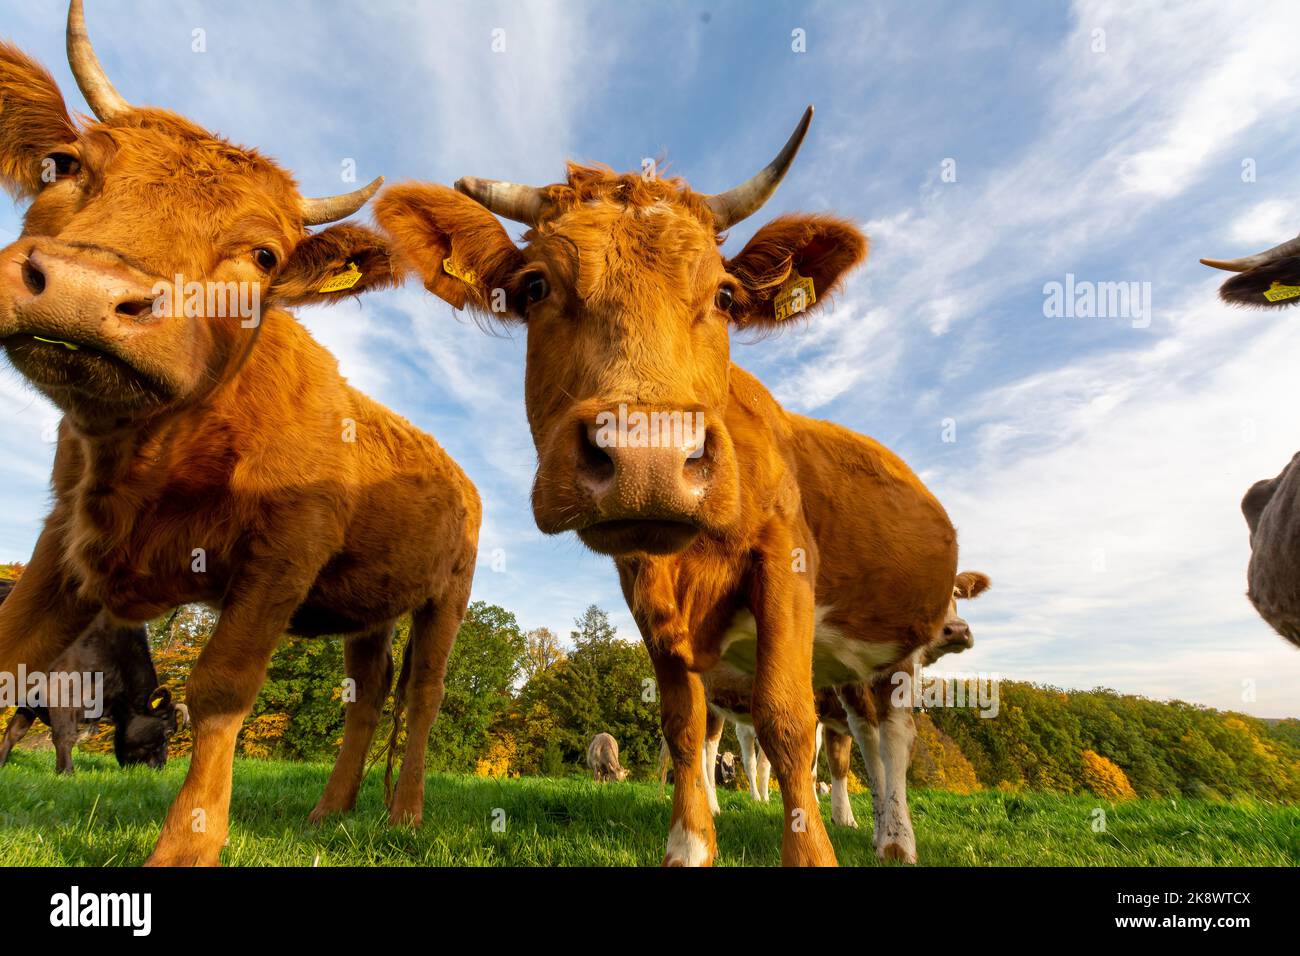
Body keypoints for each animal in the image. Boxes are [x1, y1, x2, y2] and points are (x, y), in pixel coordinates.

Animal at [0, 578, 186, 773]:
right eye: (169, 732)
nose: (161, 766)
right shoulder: (59, 694)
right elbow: (65, 736)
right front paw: (66, 772)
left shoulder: (30, 701)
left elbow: (13, 734)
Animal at [377, 107, 964, 867]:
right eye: (536, 287)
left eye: (725, 295)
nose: (647, 457)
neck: (690, 563)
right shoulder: (647, 596)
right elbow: (683, 724)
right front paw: (689, 844)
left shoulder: (786, 563)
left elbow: (786, 720)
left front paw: (810, 852)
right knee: (861, 735)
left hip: (899, 650)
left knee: (889, 740)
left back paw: (894, 837)